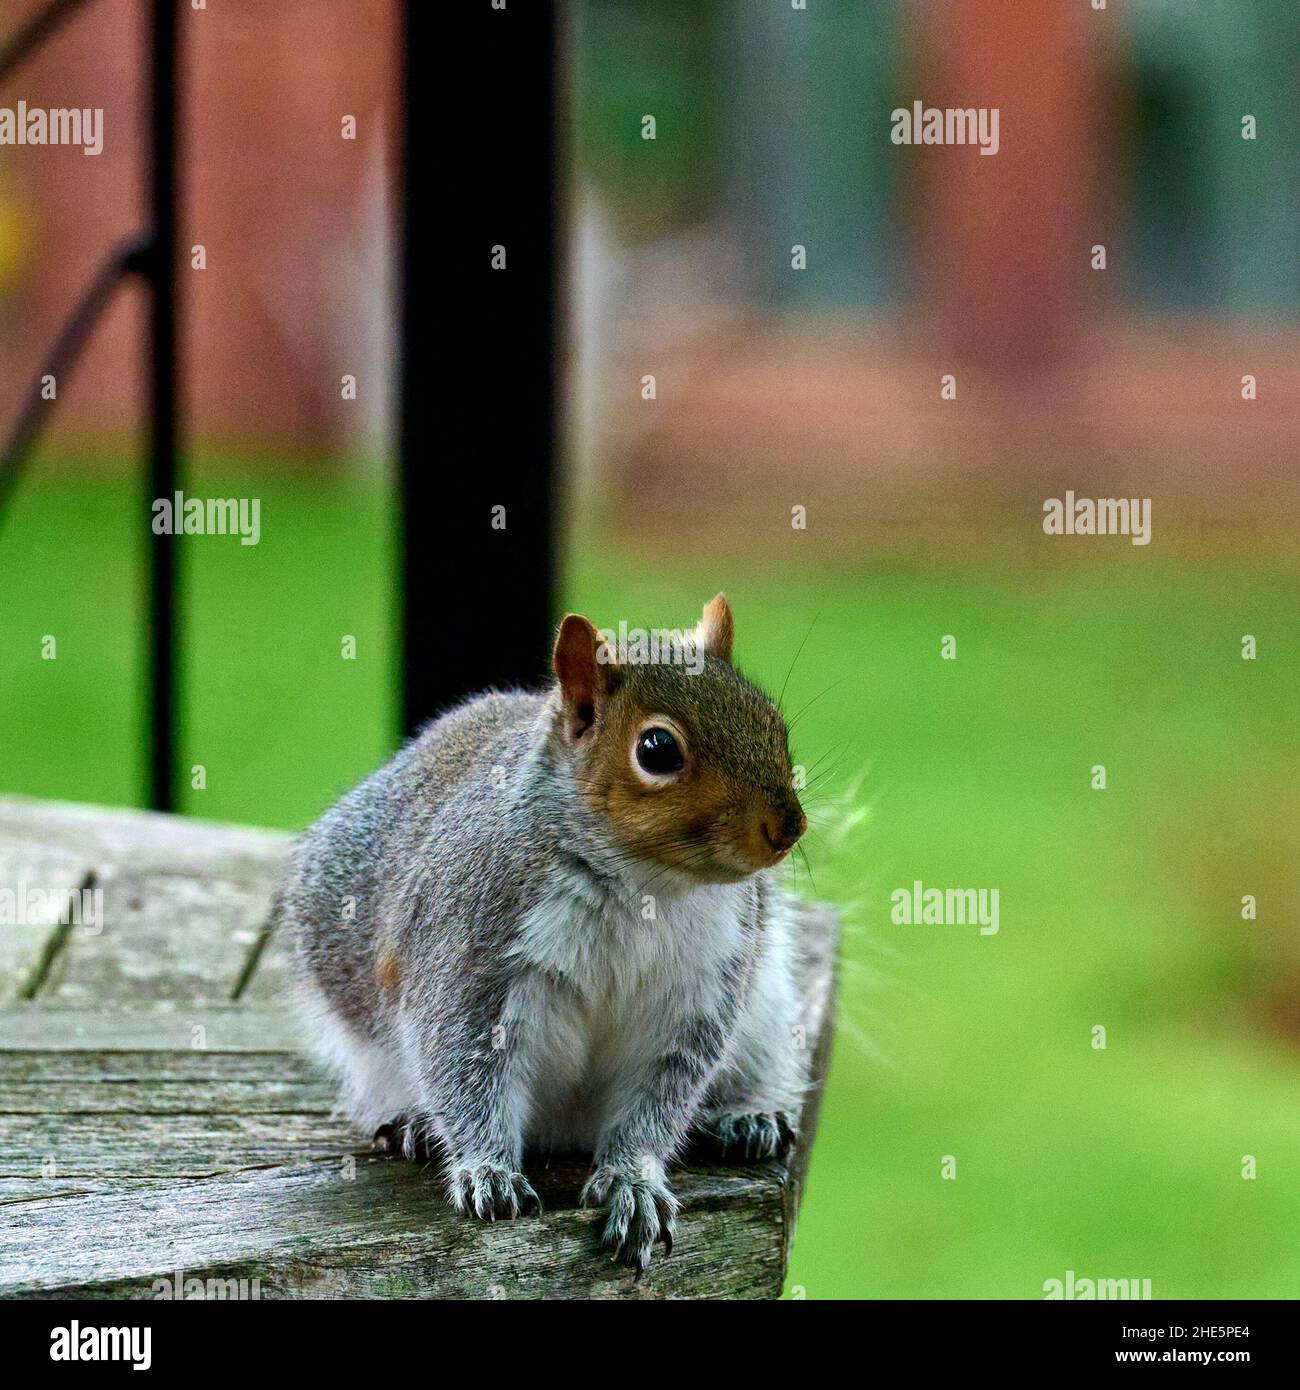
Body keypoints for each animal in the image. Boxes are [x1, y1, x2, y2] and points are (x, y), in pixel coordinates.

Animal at [282, 594, 822, 1272]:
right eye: (657, 750)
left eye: (772, 721)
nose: (788, 827)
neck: (643, 886)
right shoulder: (471, 950)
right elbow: (464, 1064)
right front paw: (487, 1171)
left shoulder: (704, 987)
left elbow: (663, 1094)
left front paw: (633, 1182)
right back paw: (414, 1123)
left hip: (767, 999)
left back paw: (745, 1117)